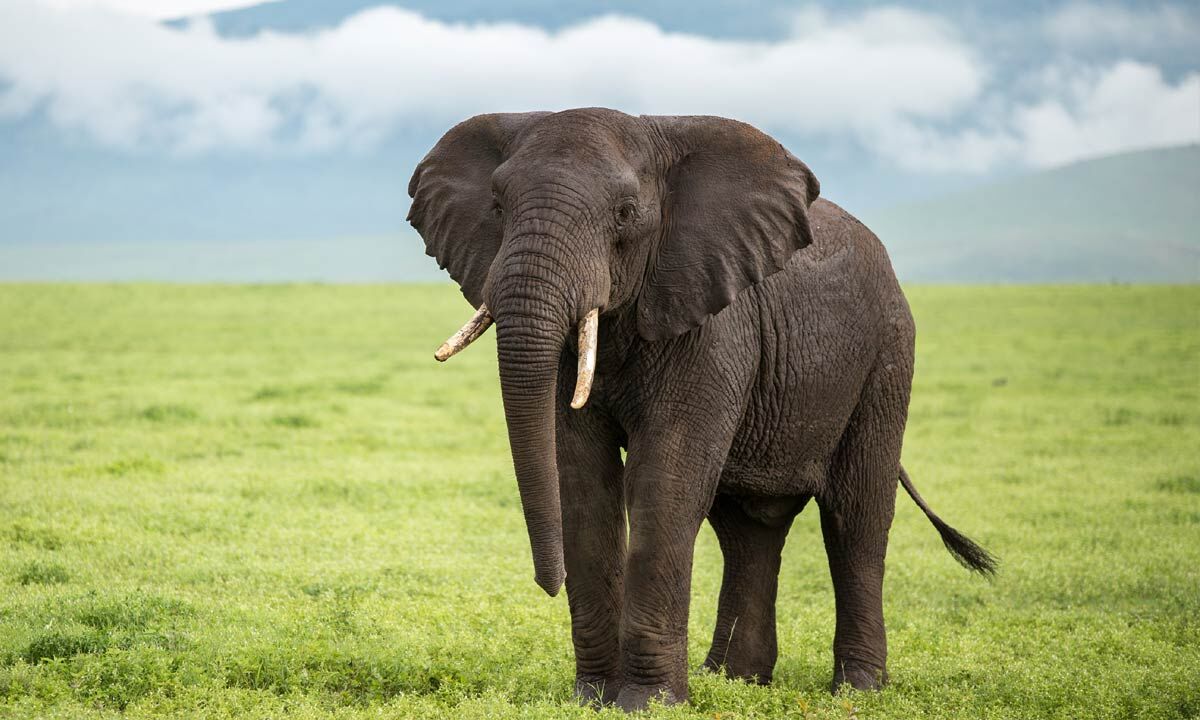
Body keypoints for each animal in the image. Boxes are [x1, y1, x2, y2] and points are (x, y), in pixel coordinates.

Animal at [407, 107, 996, 712]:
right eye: (498, 207)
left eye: (626, 214)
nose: (546, 584)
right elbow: (583, 482)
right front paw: (593, 700)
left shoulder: (713, 325)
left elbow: (663, 483)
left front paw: (647, 705)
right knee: (748, 527)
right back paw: (735, 681)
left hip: (887, 355)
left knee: (855, 518)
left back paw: (856, 691)